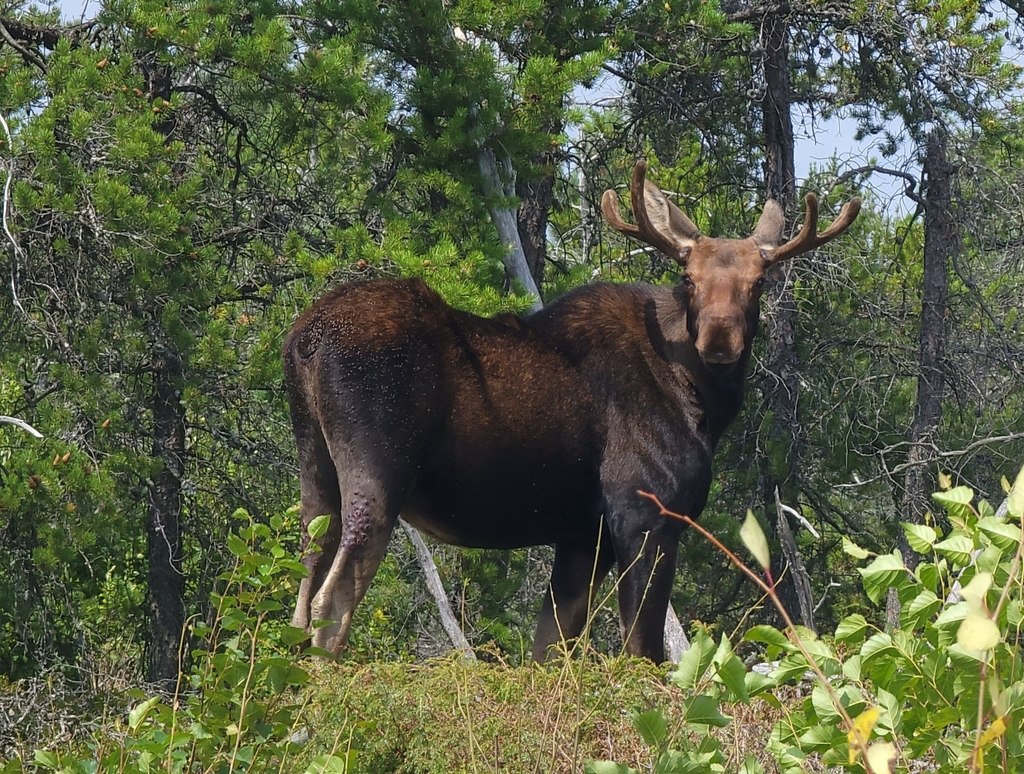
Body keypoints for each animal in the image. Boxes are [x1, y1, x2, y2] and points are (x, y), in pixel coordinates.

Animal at [282, 160, 860, 663]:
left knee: (303, 586)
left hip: (315, 472)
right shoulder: (644, 515)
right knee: (330, 600)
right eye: (689, 278)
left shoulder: (583, 535)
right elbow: (643, 651)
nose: (719, 338)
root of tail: (303, 341)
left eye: (759, 281)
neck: (706, 408)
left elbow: (549, 646)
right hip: (379, 470)